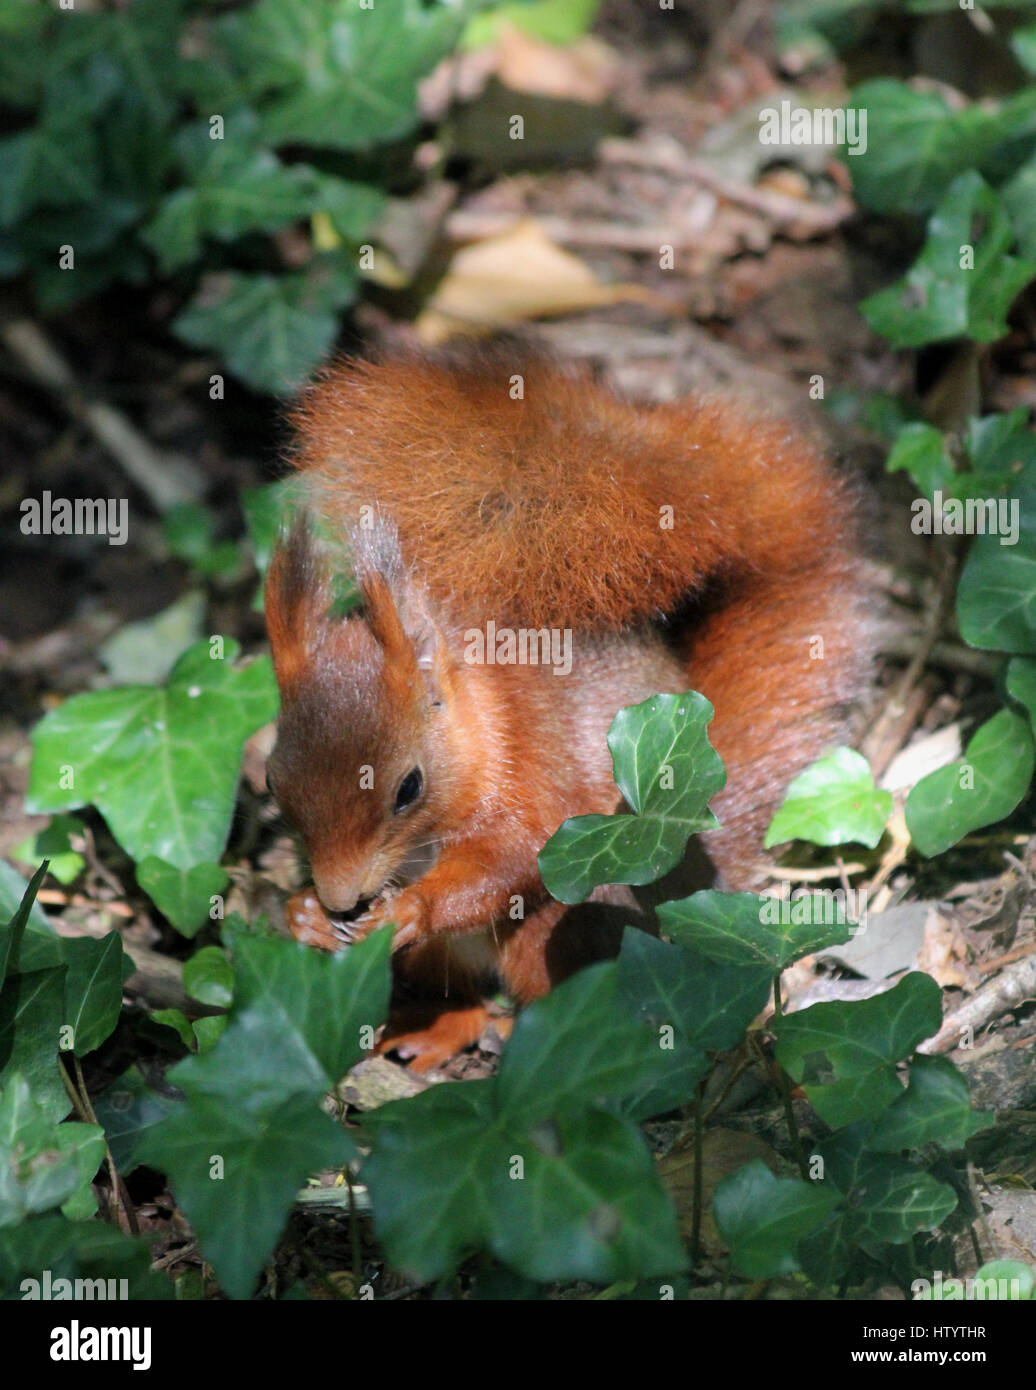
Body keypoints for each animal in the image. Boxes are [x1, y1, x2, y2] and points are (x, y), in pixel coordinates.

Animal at [264, 342, 871, 1070]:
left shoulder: (532, 777)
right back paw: (429, 1027)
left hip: (562, 929)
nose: (340, 898)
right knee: (462, 993)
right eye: (274, 785)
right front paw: (299, 914)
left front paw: (406, 910)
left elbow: (513, 857)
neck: (483, 728)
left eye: (408, 787)